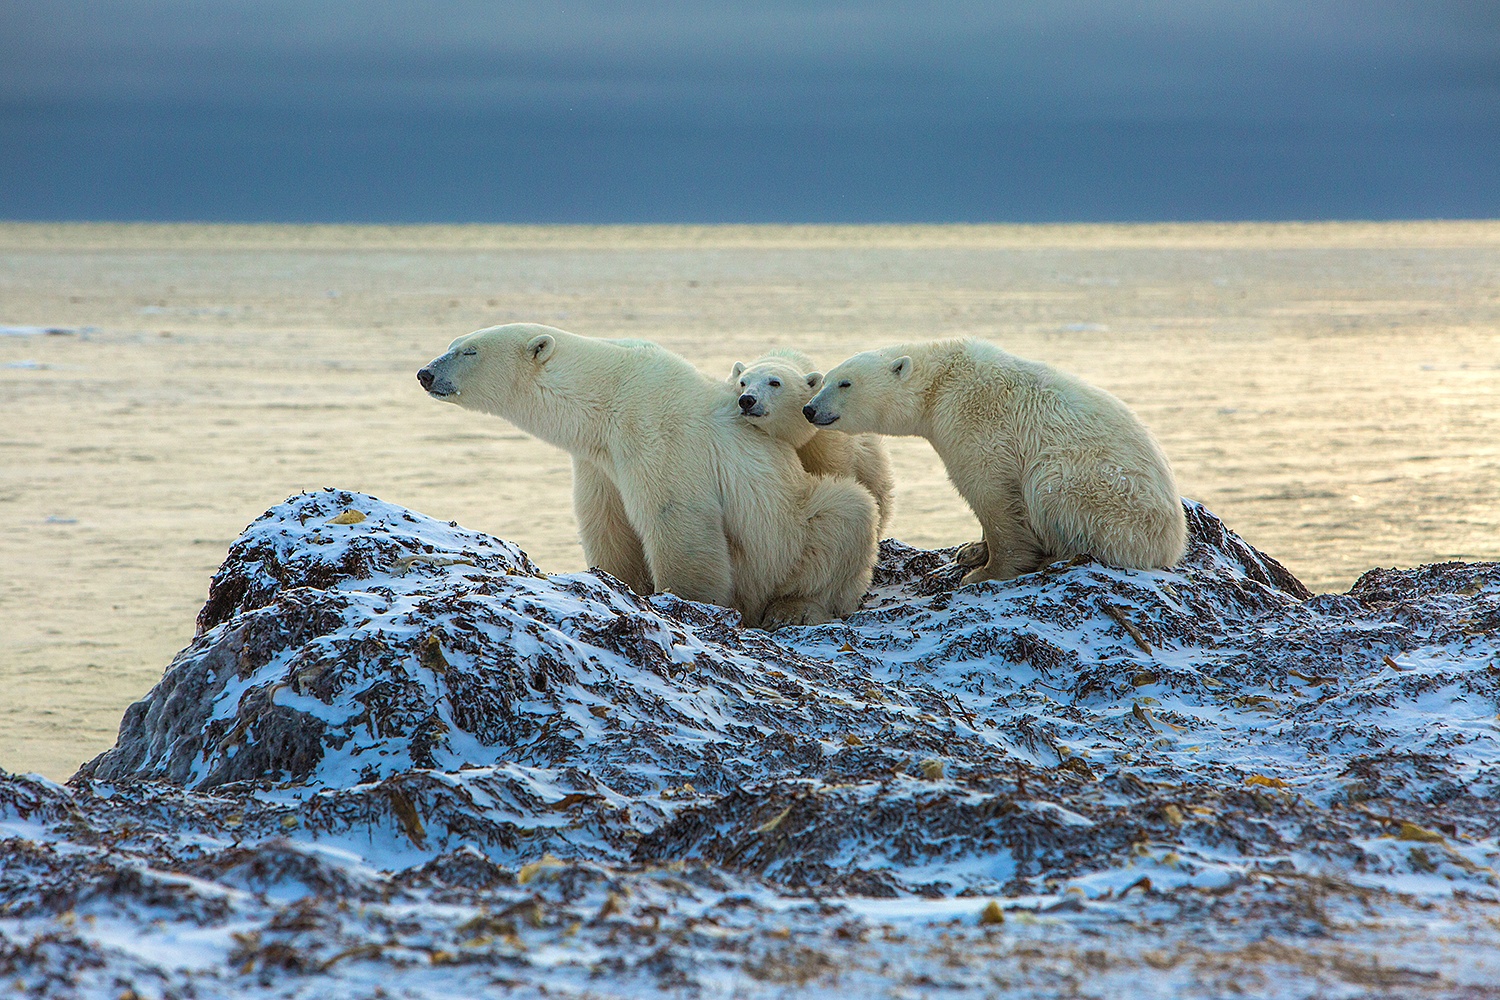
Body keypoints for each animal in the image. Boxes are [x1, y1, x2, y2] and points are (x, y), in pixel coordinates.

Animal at [803, 338, 1187, 586]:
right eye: (825, 379)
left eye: (844, 383)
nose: (810, 409)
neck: (942, 382)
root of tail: (1171, 545)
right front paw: (971, 551)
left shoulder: (975, 420)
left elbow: (992, 494)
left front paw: (986, 571)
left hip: (1106, 494)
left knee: (1051, 489)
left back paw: (1058, 554)